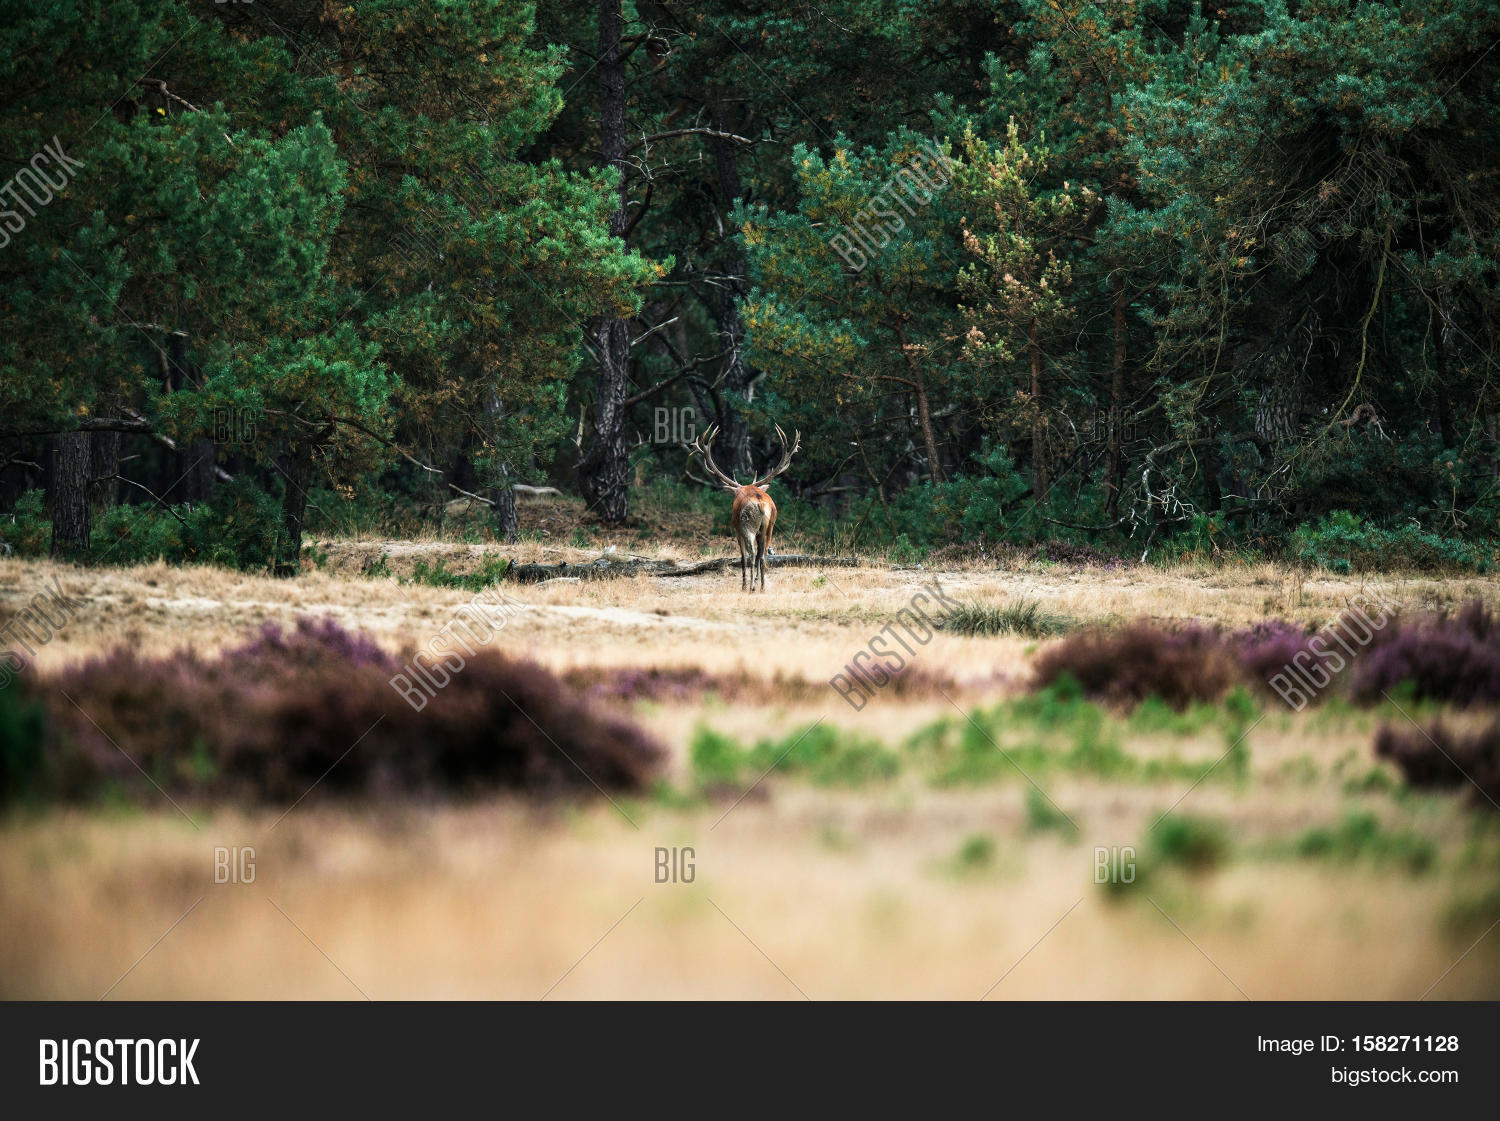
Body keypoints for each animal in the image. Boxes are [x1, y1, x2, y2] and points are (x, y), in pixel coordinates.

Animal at [689, 424, 801, 592]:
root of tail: (761, 503)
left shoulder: (737, 529)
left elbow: (742, 557)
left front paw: (744, 584)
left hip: (747, 525)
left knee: (752, 554)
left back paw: (751, 587)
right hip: (770, 526)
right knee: (763, 555)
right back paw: (762, 587)